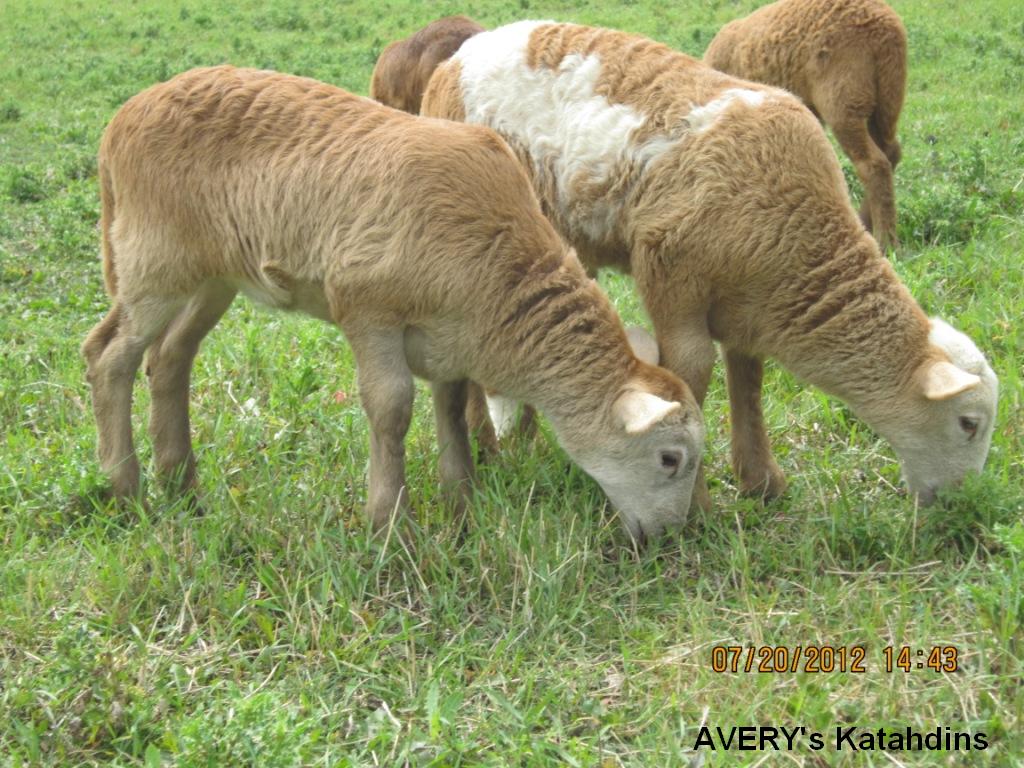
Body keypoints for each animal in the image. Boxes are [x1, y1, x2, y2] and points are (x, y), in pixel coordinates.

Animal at [80, 65, 705, 541]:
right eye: (670, 458)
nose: (670, 537)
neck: (499, 275)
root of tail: (124, 116)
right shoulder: (368, 310)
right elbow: (392, 409)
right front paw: (389, 523)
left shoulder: (452, 334)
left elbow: (450, 409)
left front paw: (462, 502)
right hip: (152, 260)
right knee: (109, 355)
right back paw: (126, 488)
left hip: (212, 274)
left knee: (170, 359)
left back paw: (181, 484)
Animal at [704, 0, 907, 249]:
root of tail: (886, 31)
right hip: (887, 98)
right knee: (891, 152)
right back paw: (867, 223)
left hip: (845, 100)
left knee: (873, 164)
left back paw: (885, 240)